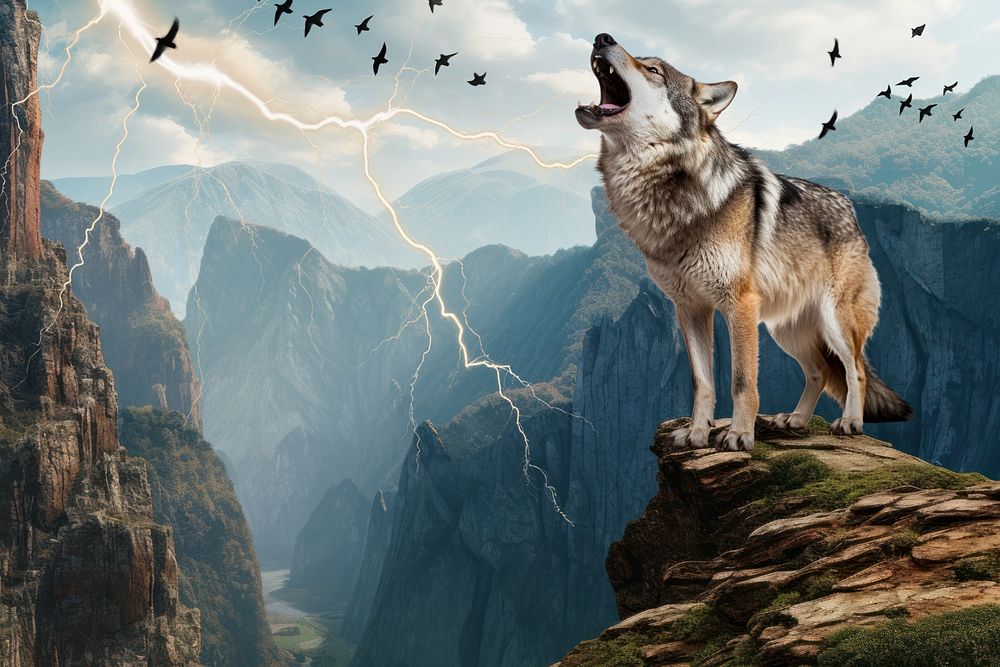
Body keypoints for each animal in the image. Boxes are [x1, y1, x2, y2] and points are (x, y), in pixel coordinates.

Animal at [576, 33, 912, 451]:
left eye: (653, 69)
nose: (602, 37)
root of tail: (852, 211)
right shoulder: (690, 309)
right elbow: (702, 381)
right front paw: (697, 434)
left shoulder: (739, 306)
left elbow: (742, 382)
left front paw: (738, 434)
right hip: (785, 330)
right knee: (818, 372)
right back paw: (795, 420)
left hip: (834, 322)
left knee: (856, 370)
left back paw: (849, 422)